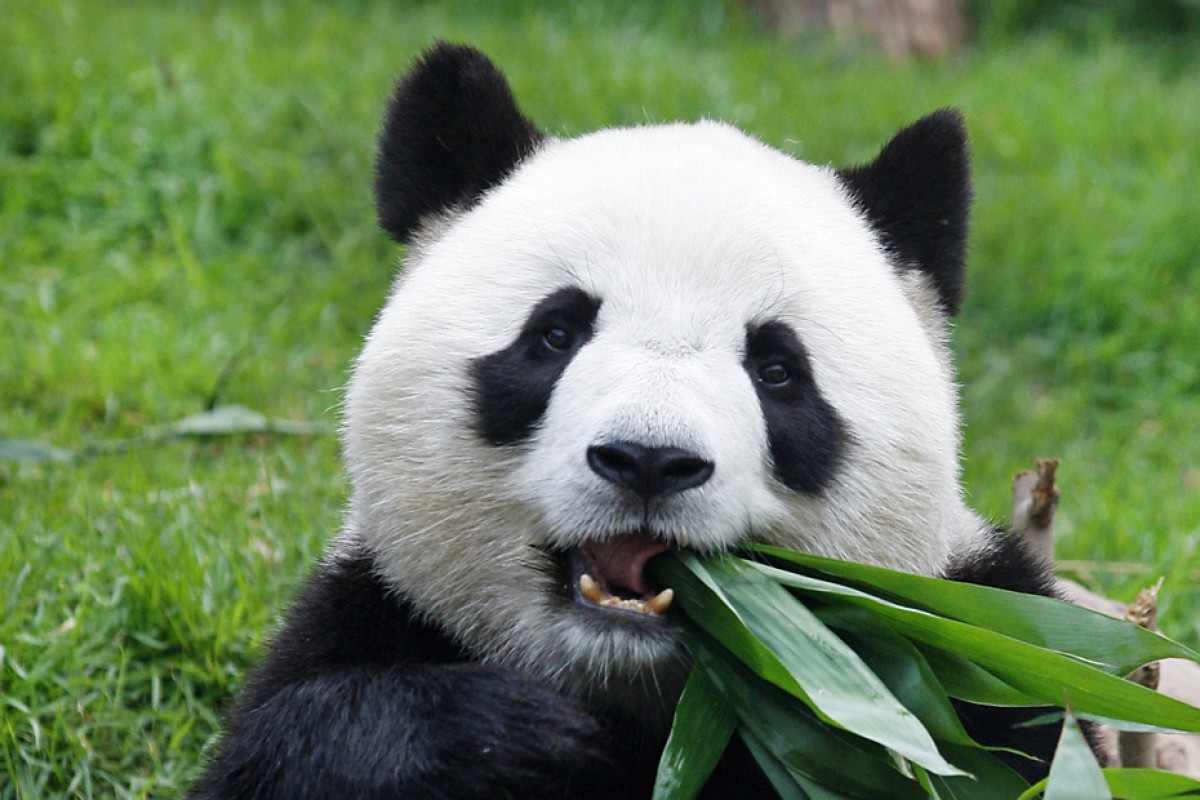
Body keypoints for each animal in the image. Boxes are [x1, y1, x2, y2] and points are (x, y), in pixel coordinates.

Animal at [192, 43, 1097, 799]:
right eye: (555, 334)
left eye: (776, 370)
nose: (649, 461)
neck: (644, 696)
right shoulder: (373, 608)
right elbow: (308, 741)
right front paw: (510, 736)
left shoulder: (987, 661)